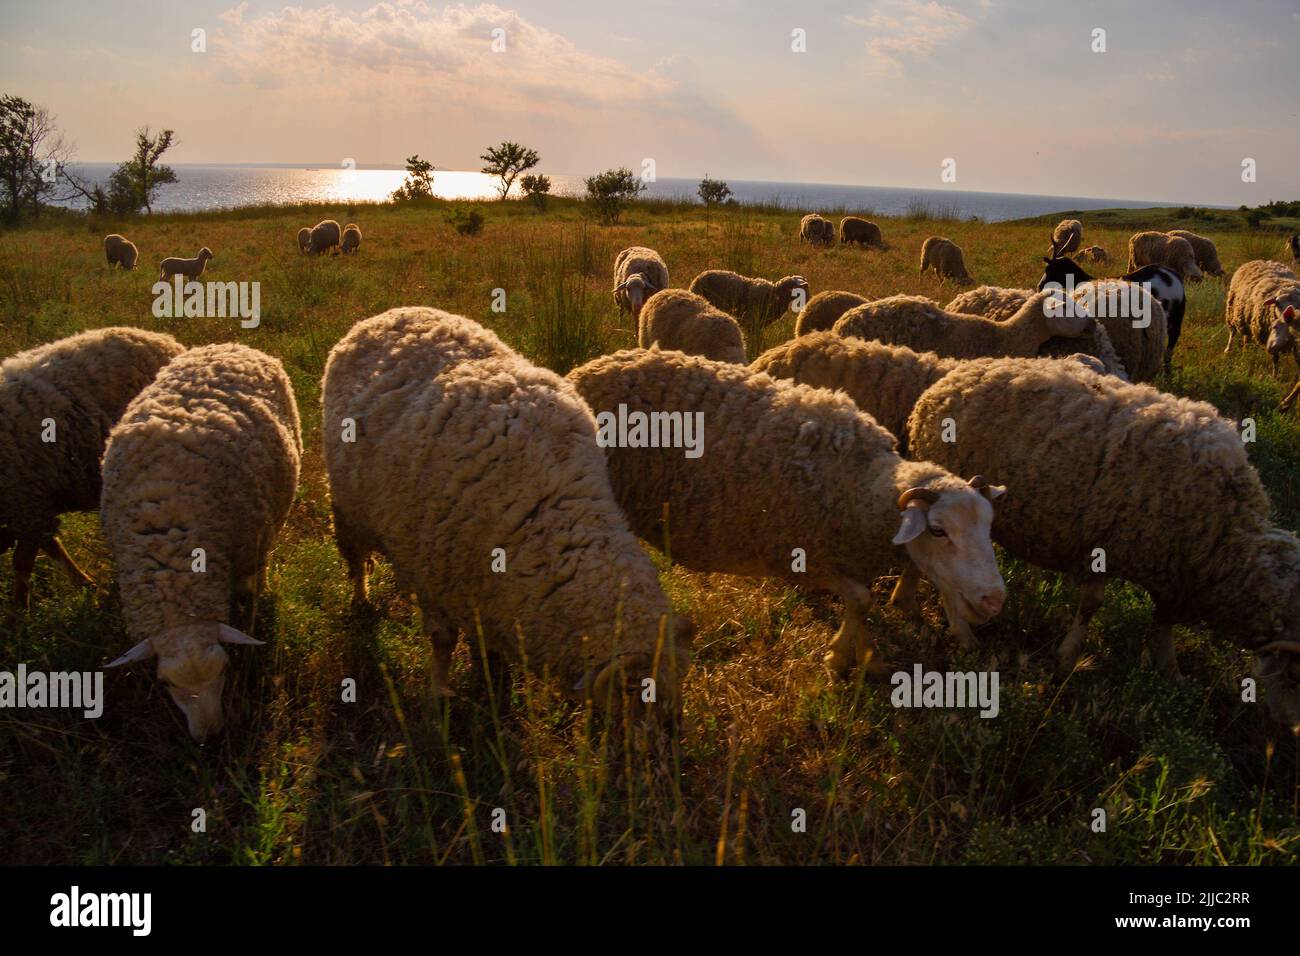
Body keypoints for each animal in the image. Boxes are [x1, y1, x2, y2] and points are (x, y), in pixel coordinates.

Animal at [0, 328, 185, 609]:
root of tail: (164, 339)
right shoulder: (32, 509)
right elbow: (50, 546)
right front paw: (87, 584)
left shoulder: (28, 505)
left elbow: (22, 565)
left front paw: (19, 613)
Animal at [321, 307, 692, 716]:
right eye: (633, 706)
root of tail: (390, 313)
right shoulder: (434, 576)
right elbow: (442, 641)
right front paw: (438, 695)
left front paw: (492, 676)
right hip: (346, 508)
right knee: (355, 559)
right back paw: (361, 599)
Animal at [566, 347, 1008, 670]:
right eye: (938, 531)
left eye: (988, 528)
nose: (994, 600)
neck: (859, 486)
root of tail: (587, 368)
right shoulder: (801, 554)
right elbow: (861, 599)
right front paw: (844, 655)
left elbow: (861, 603)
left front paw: (857, 655)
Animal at [905, 356, 1300, 728]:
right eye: (1295, 670)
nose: (1288, 730)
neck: (1220, 537)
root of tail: (955, 374)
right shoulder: (1101, 547)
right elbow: (1091, 607)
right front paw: (1066, 657)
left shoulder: (1172, 574)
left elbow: (1162, 624)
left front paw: (1169, 670)